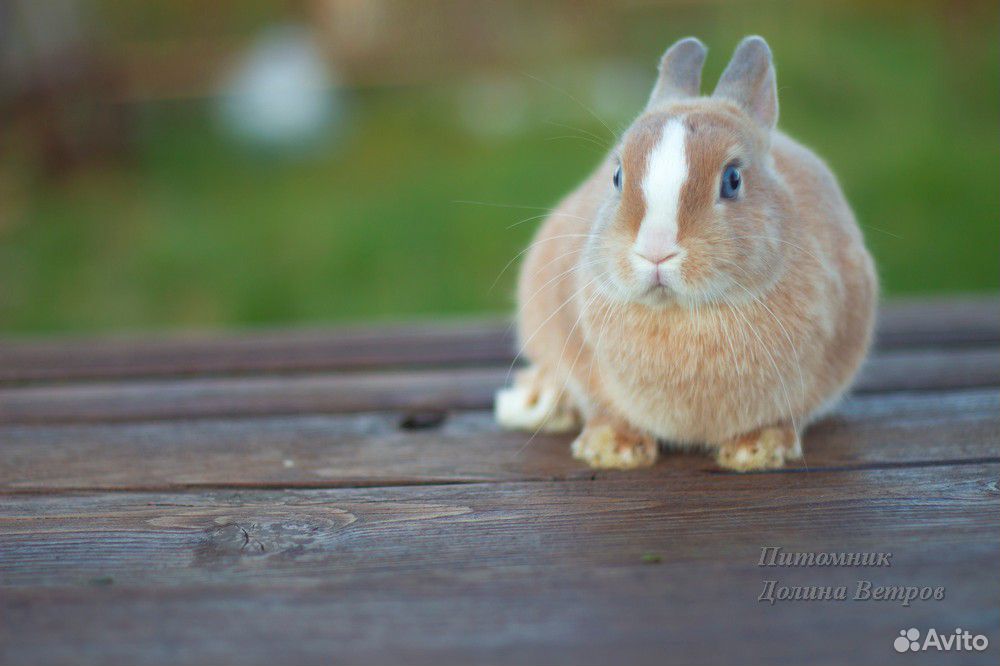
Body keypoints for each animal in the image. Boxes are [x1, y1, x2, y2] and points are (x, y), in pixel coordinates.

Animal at [494, 36, 877, 471]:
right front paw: (613, 448)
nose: (655, 251)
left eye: (733, 179)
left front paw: (757, 450)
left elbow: (786, 415)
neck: (683, 312)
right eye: (617, 175)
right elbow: (603, 405)